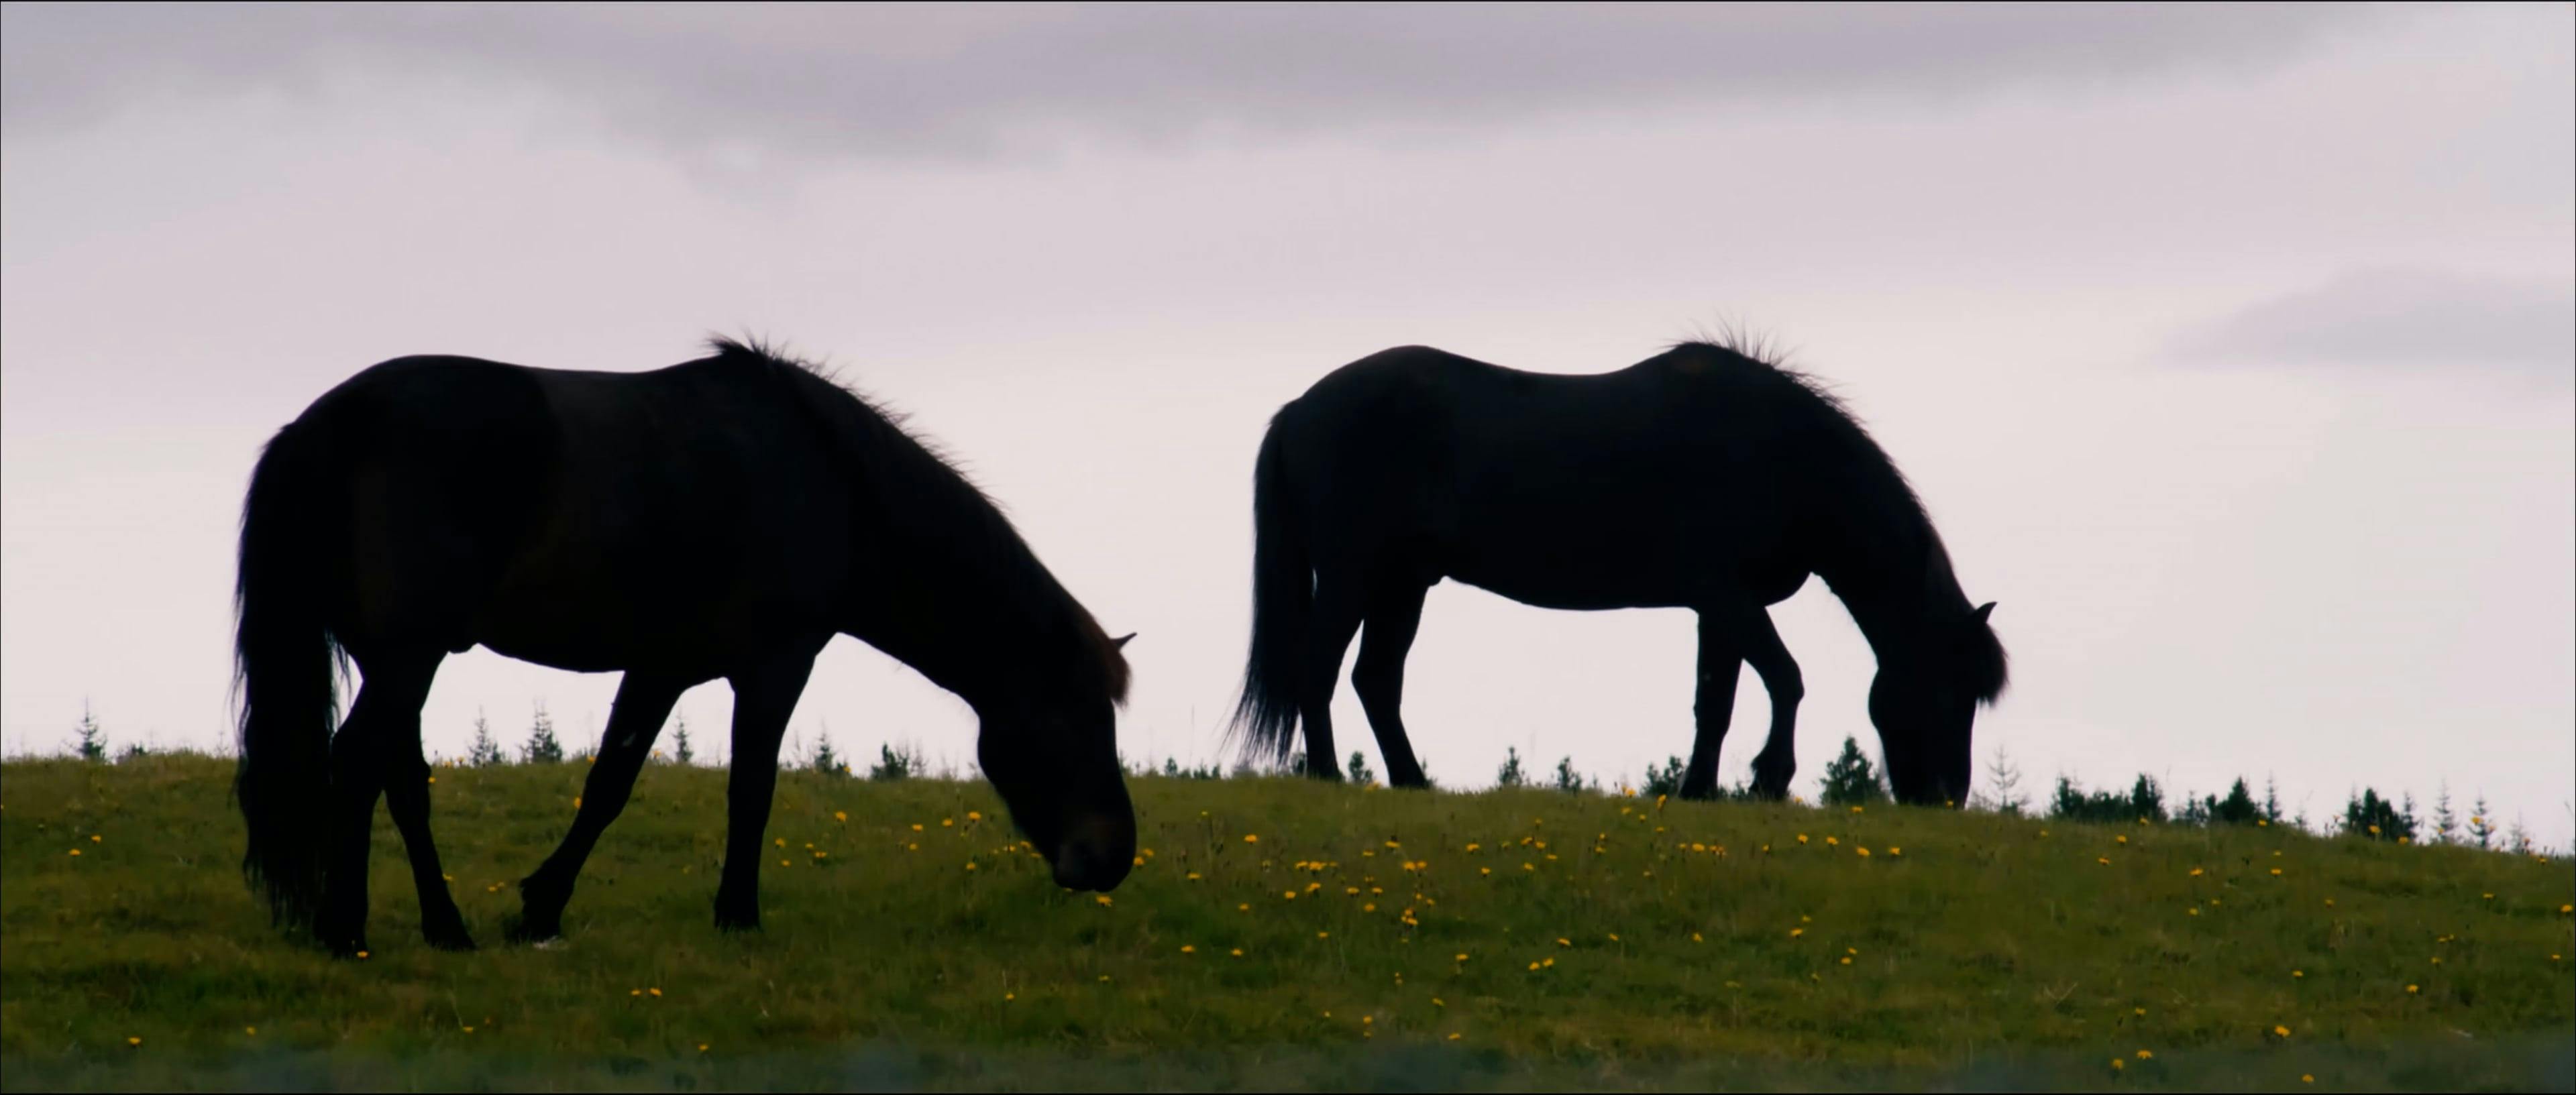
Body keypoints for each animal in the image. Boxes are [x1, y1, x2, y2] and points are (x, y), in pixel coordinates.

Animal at [234, 337, 1137, 956]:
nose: (1114, 858)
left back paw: (447, 927)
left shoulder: (660, 667)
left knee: (401, 781)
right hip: (406, 654)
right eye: (1076, 717)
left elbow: (609, 785)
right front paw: (738, 914)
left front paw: (541, 908)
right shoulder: (775, 666)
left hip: (395, 659)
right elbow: (751, 790)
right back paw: (344, 930)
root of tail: (321, 427)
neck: (832, 482)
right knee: (357, 765)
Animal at [1228, 339, 2006, 805]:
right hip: (1353, 577)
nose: (1946, 795)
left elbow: (1715, 701)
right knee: (1320, 671)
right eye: (1949, 687)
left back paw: (1414, 782)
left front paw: (1699, 790)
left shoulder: (1719, 607)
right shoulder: (1728, 597)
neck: (1783, 456)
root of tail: (1299, 410)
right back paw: (1328, 776)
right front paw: (1768, 778)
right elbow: (1786, 680)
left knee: (1375, 680)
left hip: (1402, 585)